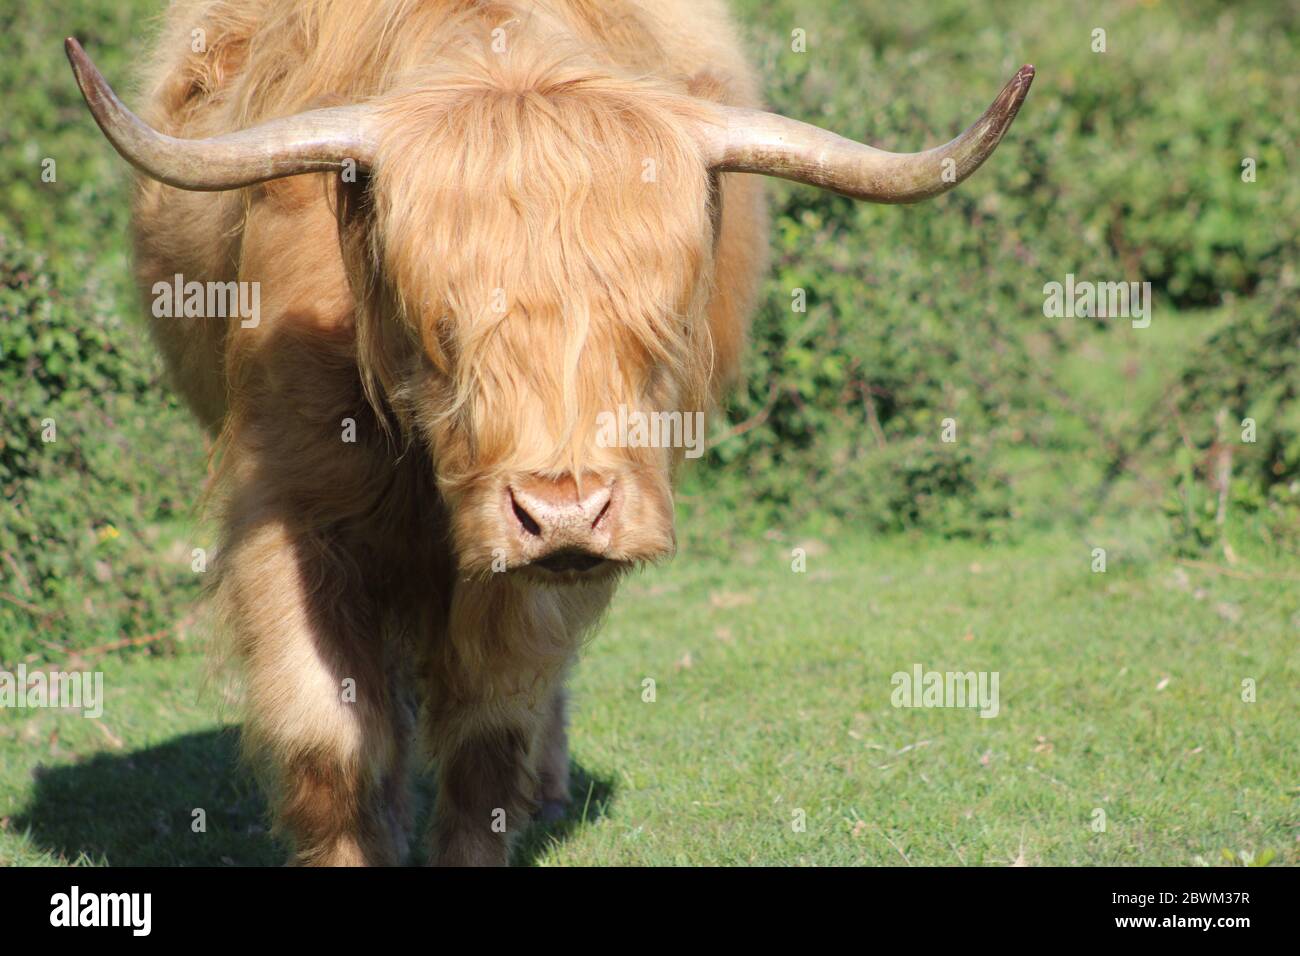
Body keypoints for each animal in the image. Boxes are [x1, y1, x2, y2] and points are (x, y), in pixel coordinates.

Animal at [66, 0, 1031, 866]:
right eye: (441, 327)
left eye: (662, 320)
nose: (564, 513)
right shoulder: (294, 503)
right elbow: (331, 732)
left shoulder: (534, 578)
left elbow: (492, 730)